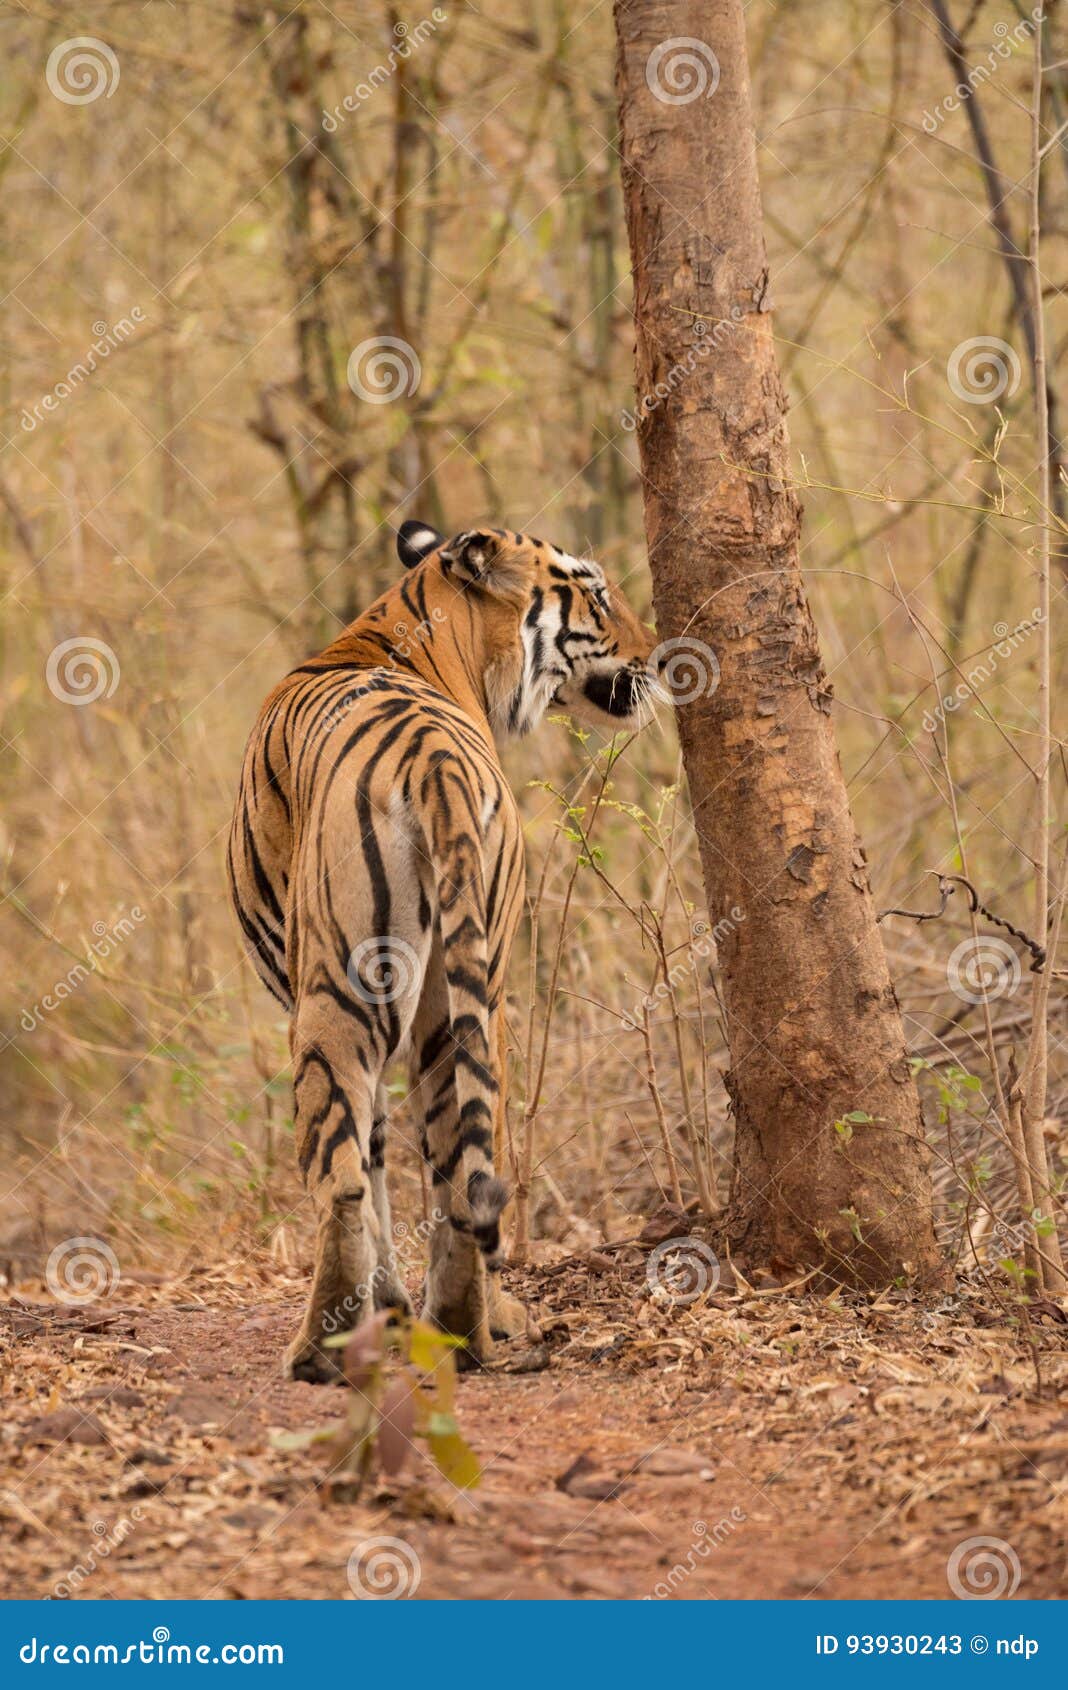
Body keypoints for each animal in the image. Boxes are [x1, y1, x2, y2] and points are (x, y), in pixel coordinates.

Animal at [227, 523, 660, 1381]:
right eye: (597, 596)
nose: (659, 654)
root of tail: (433, 760)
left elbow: (373, 1161)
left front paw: (386, 1309)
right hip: (467, 994)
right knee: (463, 1169)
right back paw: (465, 1330)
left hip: (339, 994)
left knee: (343, 1178)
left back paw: (323, 1349)